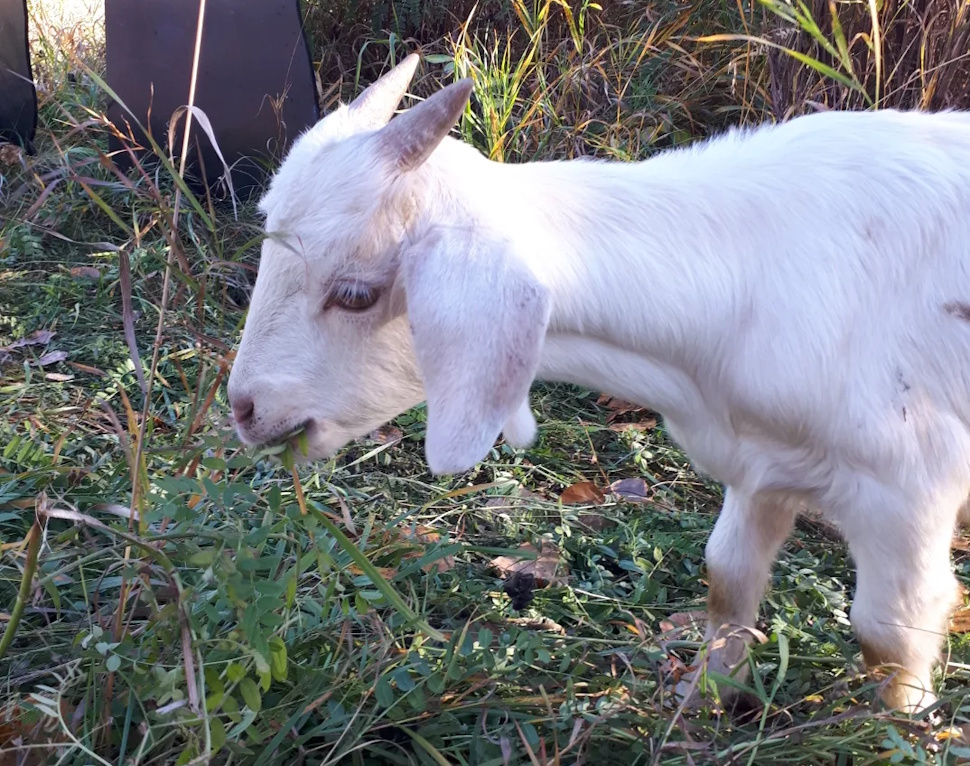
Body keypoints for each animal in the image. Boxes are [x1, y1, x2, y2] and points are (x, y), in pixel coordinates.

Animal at [227, 53, 970, 714]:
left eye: (355, 294)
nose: (244, 408)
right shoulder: (763, 467)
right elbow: (727, 580)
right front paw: (703, 700)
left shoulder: (909, 490)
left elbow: (890, 631)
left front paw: (904, 725)